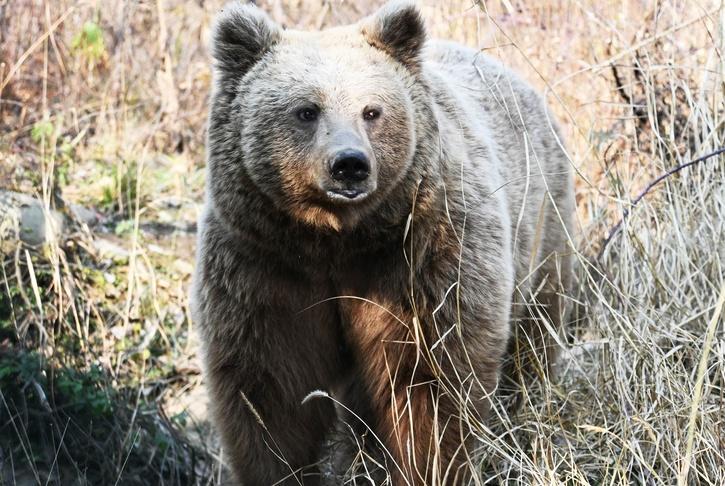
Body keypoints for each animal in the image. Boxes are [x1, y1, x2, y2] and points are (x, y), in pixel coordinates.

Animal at [191, 1, 574, 484]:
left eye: (372, 111)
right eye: (307, 110)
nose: (349, 164)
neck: (334, 239)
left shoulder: (421, 256)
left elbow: (429, 382)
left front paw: (425, 465)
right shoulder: (263, 267)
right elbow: (271, 394)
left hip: (544, 226)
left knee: (535, 333)